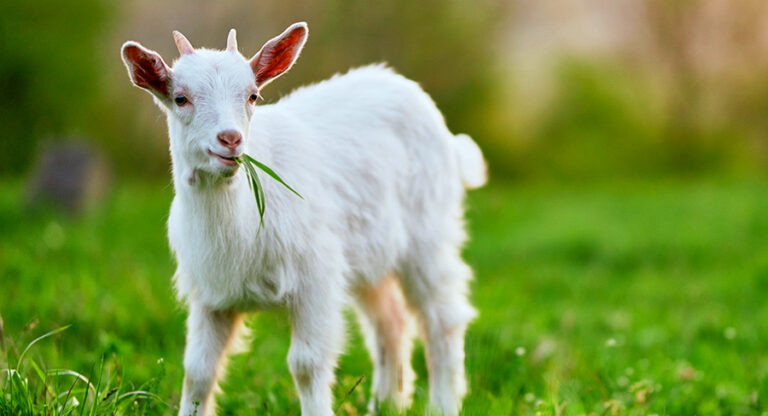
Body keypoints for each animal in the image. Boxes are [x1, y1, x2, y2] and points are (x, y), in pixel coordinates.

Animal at [121, 22, 486, 416]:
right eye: (180, 98)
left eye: (252, 96)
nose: (230, 139)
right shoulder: (211, 294)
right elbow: (198, 370)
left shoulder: (315, 278)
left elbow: (306, 365)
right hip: (370, 253)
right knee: (390, 321)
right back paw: (385, 404)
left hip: (428, 234)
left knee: (442, 319)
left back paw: (442, 403)